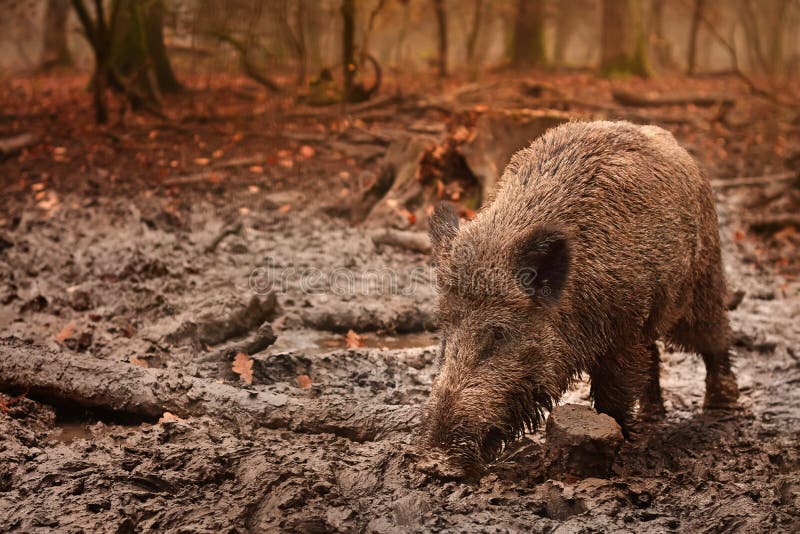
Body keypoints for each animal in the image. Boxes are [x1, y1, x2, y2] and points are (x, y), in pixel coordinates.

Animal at [423, 120, 739, 468]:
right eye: (445, 330)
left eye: (499, 335)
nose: (433, 460)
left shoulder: (622, 334)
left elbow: (613, 396)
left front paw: (619, 447)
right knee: (654, 354)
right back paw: (652, 416)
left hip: (702, 281)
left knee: (715, 335)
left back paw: (721, 408)